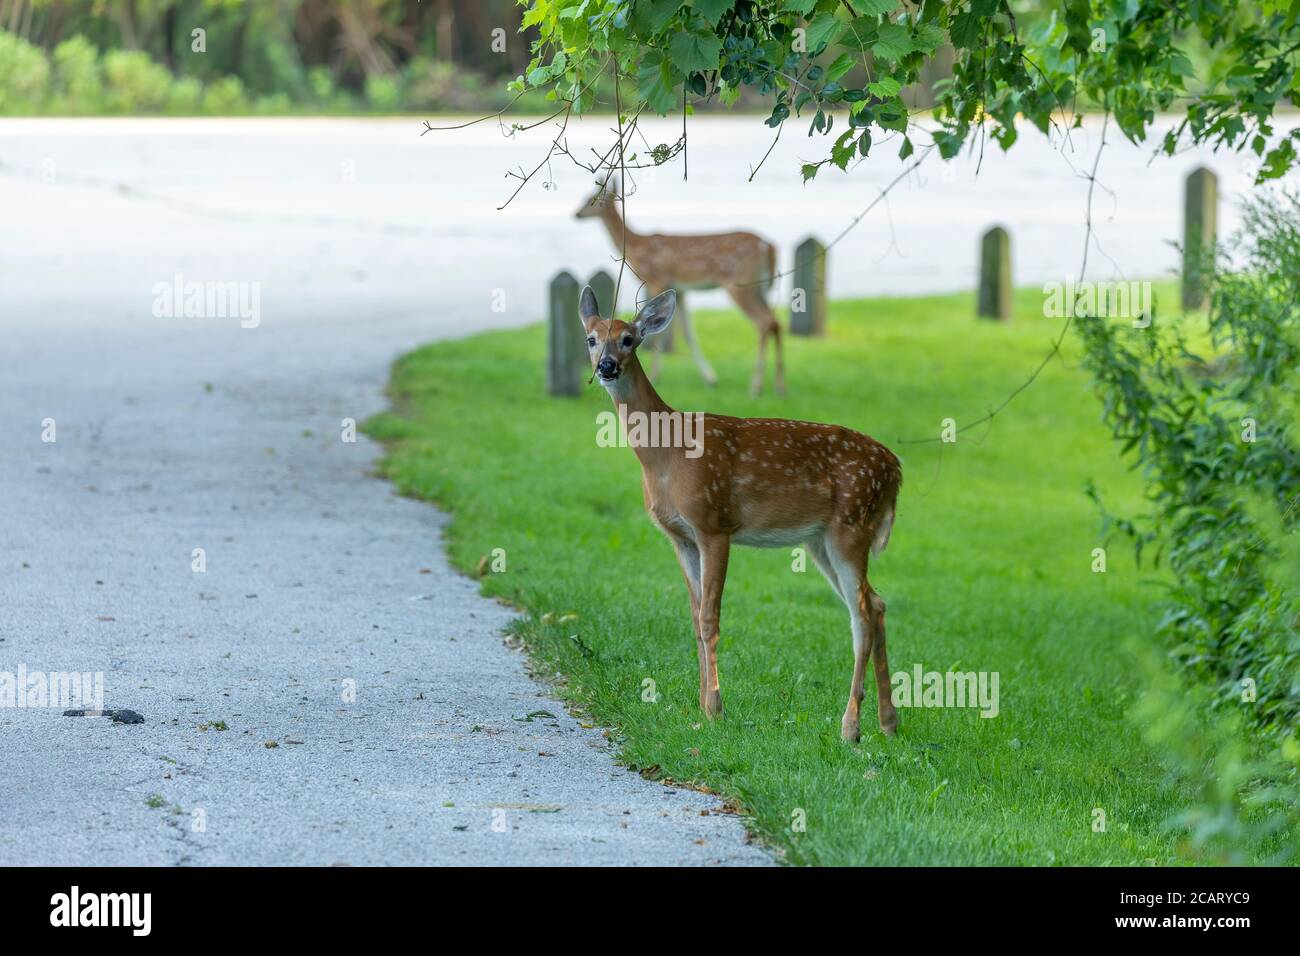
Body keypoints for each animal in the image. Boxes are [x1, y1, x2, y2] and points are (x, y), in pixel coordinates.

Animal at [575, 186, 787, 397]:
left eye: (593, 199)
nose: (576, 214)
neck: (636, 247)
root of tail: (769, 246)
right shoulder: (680, 289)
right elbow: (687, 333)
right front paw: (710, 379)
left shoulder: (657, 280)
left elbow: (659, 333)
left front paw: (655, 375)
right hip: (759, 288)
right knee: (776, 322)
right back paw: (779, 386)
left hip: (740, 285)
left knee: (764, 322)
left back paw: (756, 386)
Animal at [580, 284, 902, 741]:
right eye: (592, 339)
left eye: (628, 339)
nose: (606, 366)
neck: (667, 455)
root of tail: (897, 468)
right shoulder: (679, 537)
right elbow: (694, 616)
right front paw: (699, 708)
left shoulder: (714, 524)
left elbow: (710, 617)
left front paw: (715, 708)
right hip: (821, 540)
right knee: (876, 604)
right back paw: (888, 721)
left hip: (851, 526)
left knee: (861, 617)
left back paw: (850, 727)